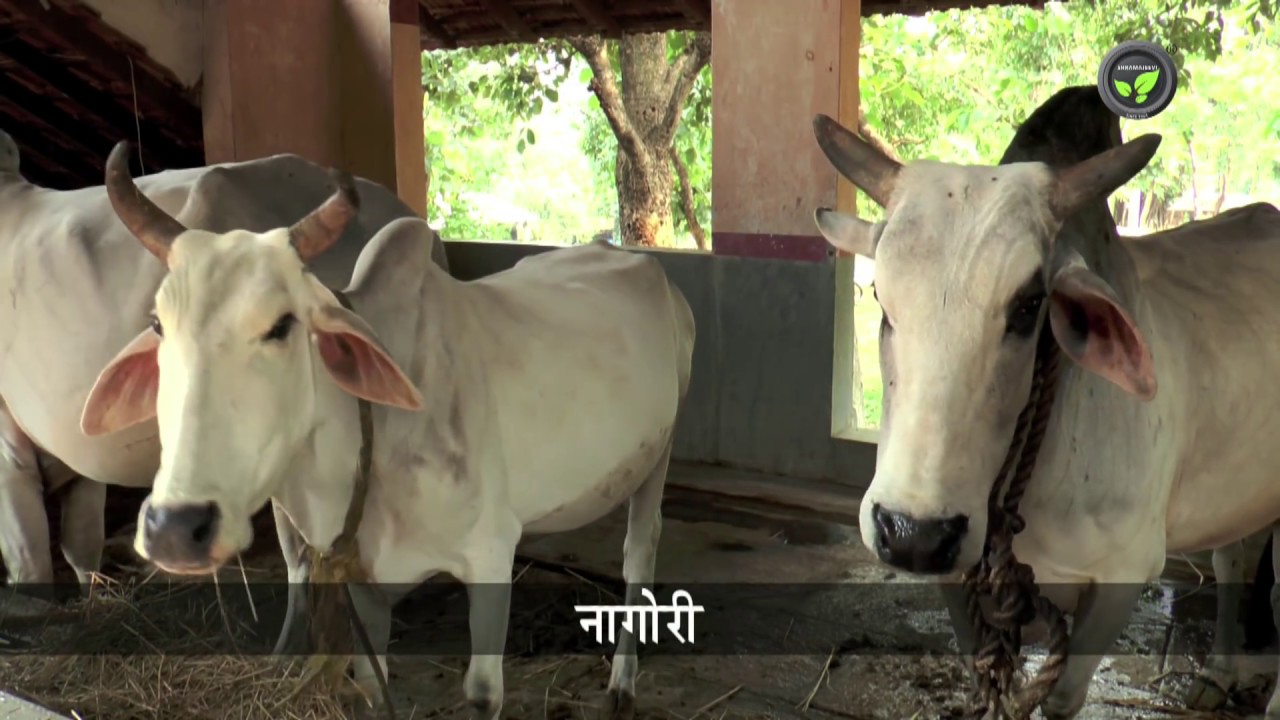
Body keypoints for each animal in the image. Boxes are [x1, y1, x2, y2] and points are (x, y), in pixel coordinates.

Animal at [77, 141, 696, 719]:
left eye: (282, 324)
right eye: (158, 323)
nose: (176, 528)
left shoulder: (490, 552)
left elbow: (481, 694)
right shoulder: (359, 581)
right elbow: (371, 685)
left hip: (659, 456)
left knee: (638, 554)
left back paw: (622, 683)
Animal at [807, 84, 1280, 719]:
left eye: (1030, 305)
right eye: (881, 296)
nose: (913, 532)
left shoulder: (1124, 573)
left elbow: (1061, 698)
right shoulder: (961, 584)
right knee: (1236, 559)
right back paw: (1220, 673)